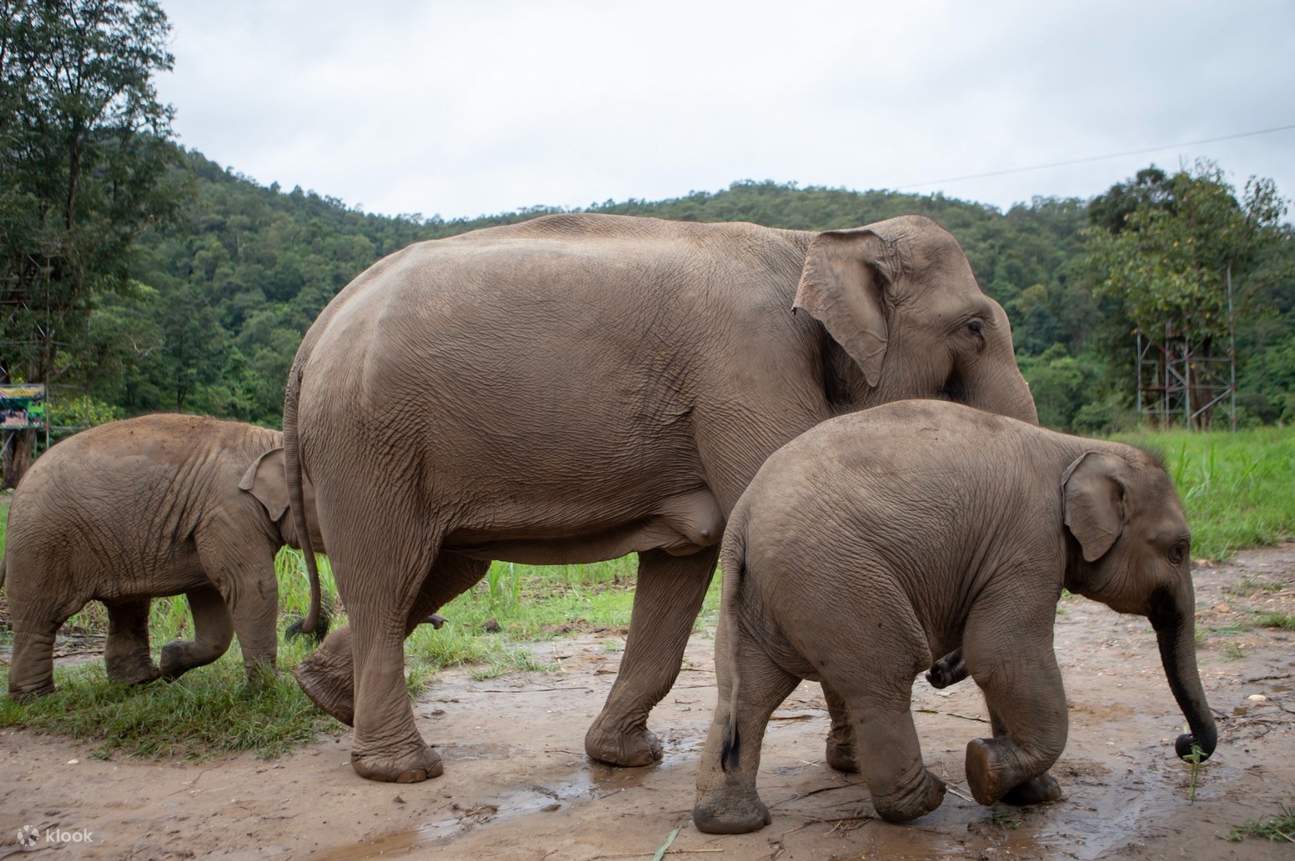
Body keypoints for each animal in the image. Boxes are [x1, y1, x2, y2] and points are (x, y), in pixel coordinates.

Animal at [3, 414, 327, 698]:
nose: (301, 630)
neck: (273, 441)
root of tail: (17, 491)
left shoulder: (204, 522)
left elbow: (211, 602)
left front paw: (170, 663)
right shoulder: (228, 513)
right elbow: (251, 587)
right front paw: (268, 689)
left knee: (128, 608)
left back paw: (138, 682)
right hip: (42, 544)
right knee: (40, 618)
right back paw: (36, 697)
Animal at [282, 212, 1039, 783]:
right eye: (973, 327)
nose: (946, 669)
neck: (809, 241)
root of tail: (317, 331)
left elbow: (686, 560)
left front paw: (622, 757)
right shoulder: (747, 367)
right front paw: (854, 766)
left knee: (442, 570)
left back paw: (324, 695)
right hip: (370, 441)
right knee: (388, 575)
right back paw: (401, 768)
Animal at [692, 399, 1216, 831]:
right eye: (1178, 549)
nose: (1184, 744)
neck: (1079, 447)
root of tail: (742, 518)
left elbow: (999, 666)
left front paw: (1033, 795)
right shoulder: (1029, 544)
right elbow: (1005, 657)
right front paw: (985, 772)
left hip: (765, 594)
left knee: (748, 693)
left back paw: (731, 823)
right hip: (835, 578)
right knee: (883, 679)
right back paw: (925, 800)